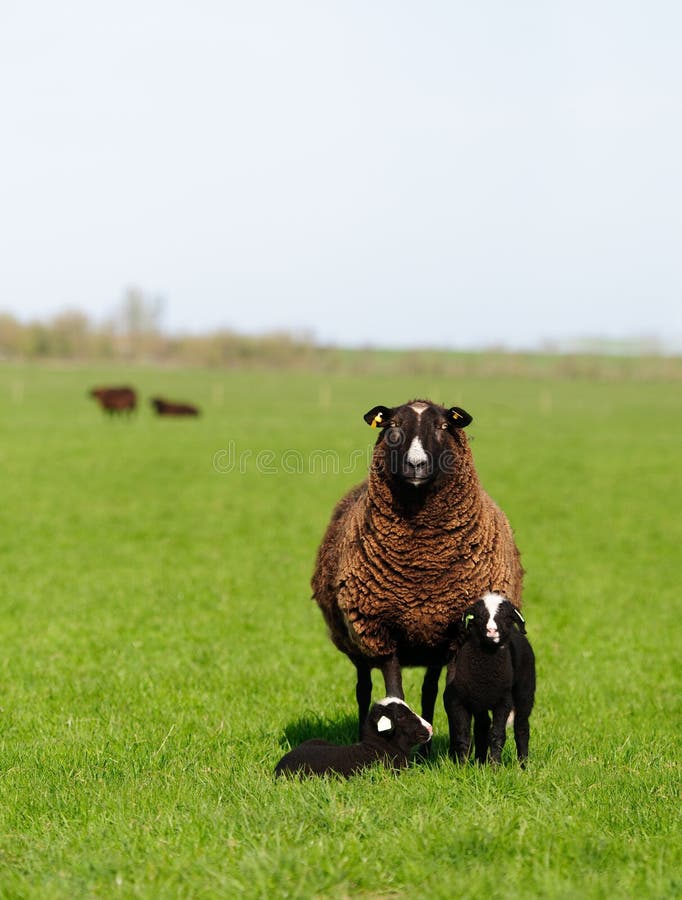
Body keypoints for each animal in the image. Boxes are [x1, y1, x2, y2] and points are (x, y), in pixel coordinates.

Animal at [311, 399, 523, 739]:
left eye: (443, 426)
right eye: (393, 426)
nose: (416, 464)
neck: (422, 566)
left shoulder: (455, 634)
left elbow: (445, 694)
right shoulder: (381, 632)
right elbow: (394, 694)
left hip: (431, 643)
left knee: (428, 691)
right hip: (357, 645)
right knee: (363, 688)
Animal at [443, 593, 536, 765]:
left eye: (506, 617)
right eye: (479, 616)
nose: (491, 630)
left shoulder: (503, 702)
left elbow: (497, 736)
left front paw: (495, 767)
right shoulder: (459, 701)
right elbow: (463, 737)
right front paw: (462, 767)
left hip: (525, 693)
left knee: (522, 728)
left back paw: (523, 765)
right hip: (480, 704)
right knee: (482, 727)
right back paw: (480, 762)